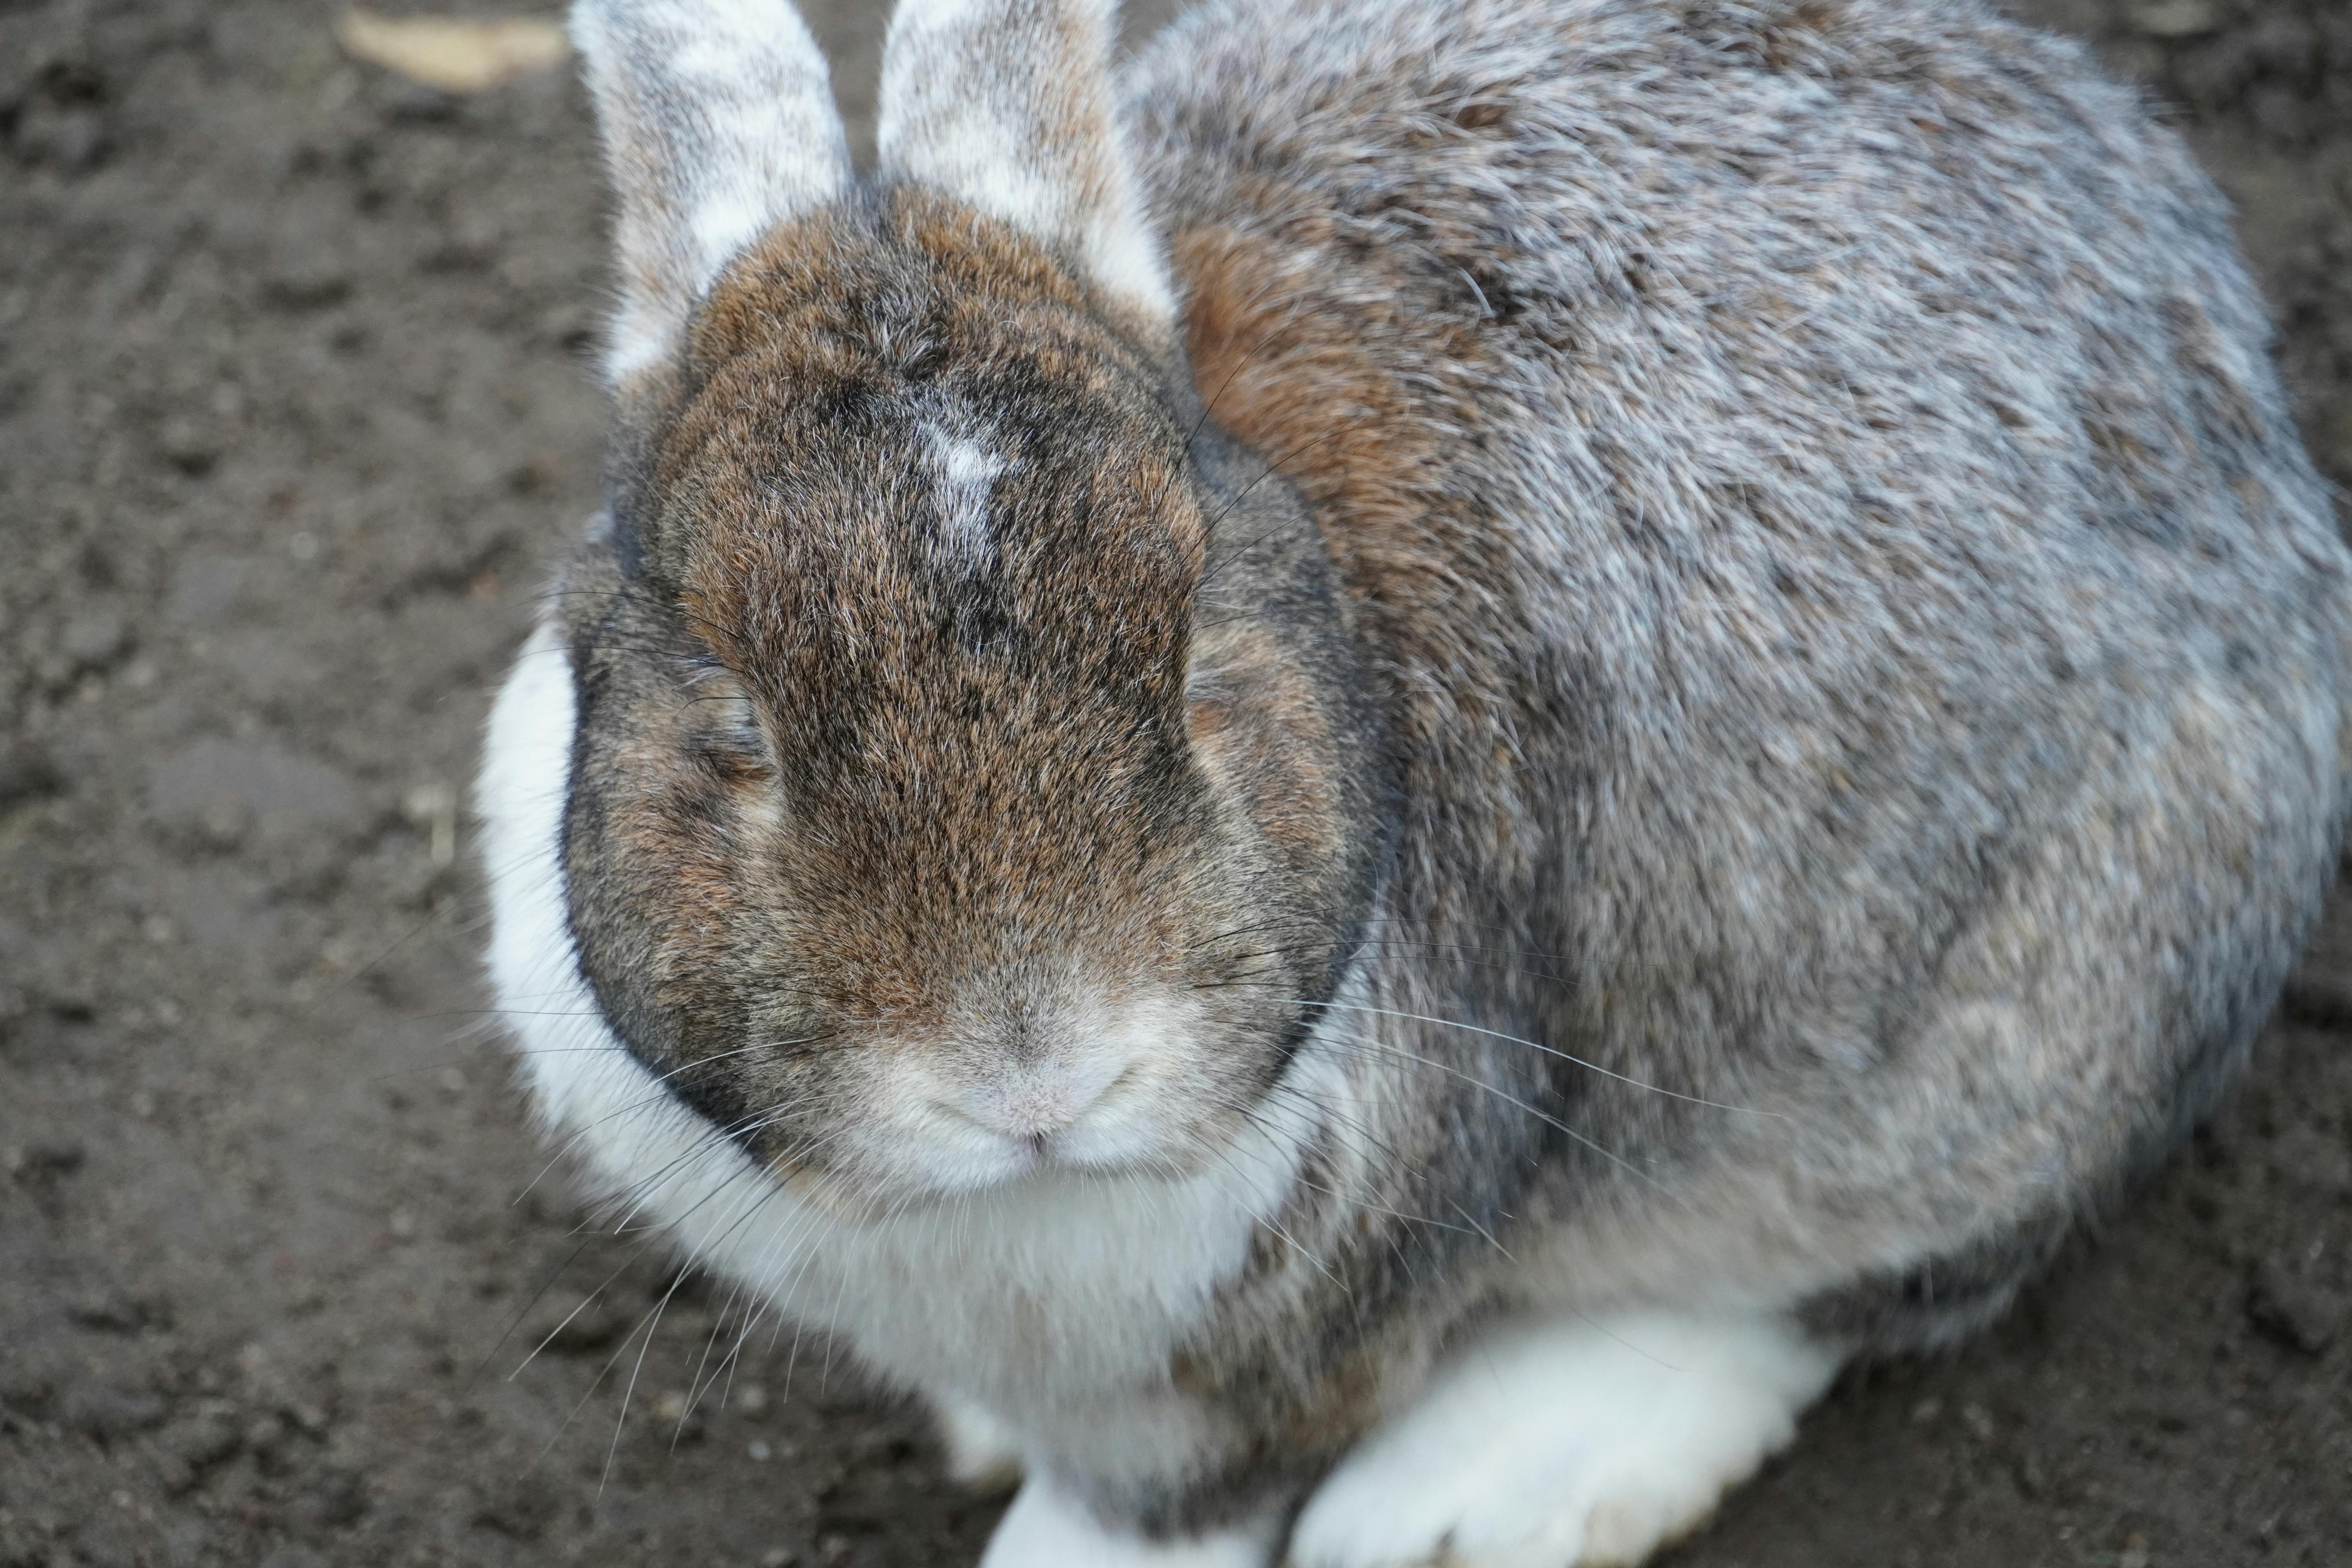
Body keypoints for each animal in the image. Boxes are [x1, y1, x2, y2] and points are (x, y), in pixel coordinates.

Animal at [475, 0, 2352, 1562]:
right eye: (738, 731)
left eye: (1193, 658)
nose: (1034, 1072)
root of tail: (2257, 434)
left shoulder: (1261, 1358)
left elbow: (1155, 1508)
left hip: (2046, 1007)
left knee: (1845, 1283)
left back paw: (1481, 1493)